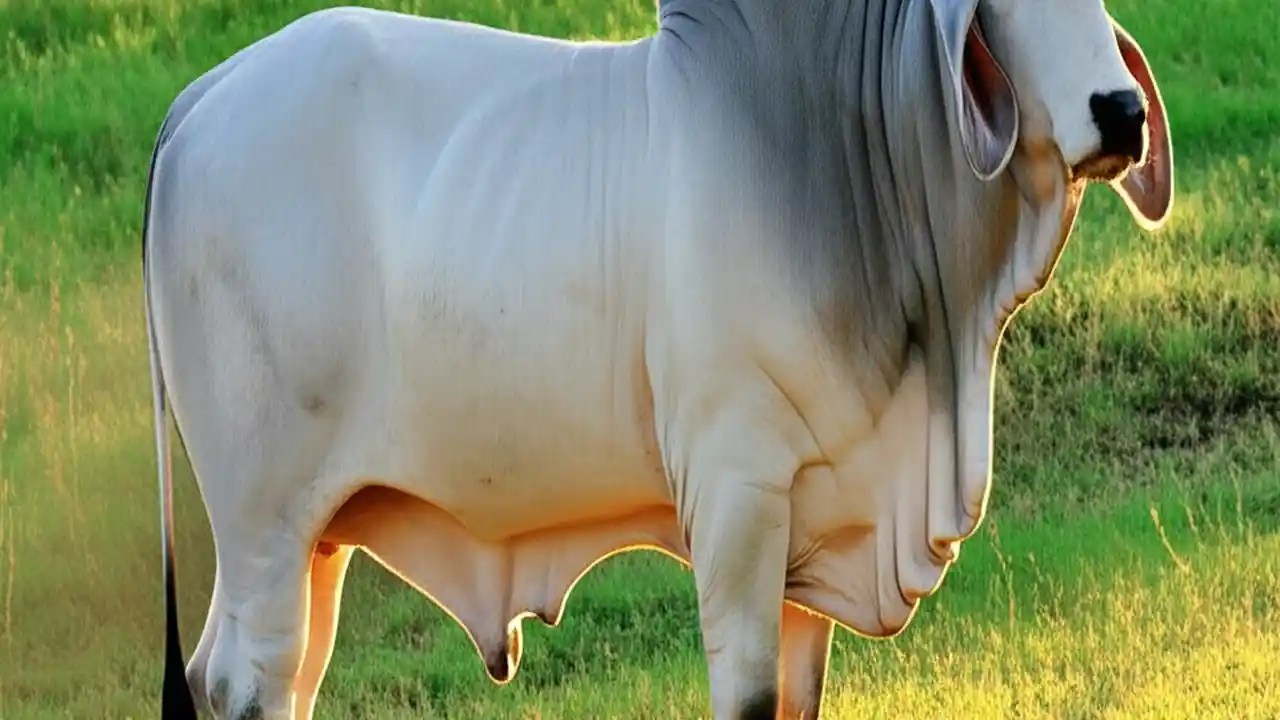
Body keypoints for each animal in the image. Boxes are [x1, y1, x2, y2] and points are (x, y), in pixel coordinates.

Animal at [142, 1, 1173, 718]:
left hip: (313, 535)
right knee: (250, 677)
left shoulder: (816, 514)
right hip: (265, 517)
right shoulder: (737, 492)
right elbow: (749, 693)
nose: (1121, 111)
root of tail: (197, 98)